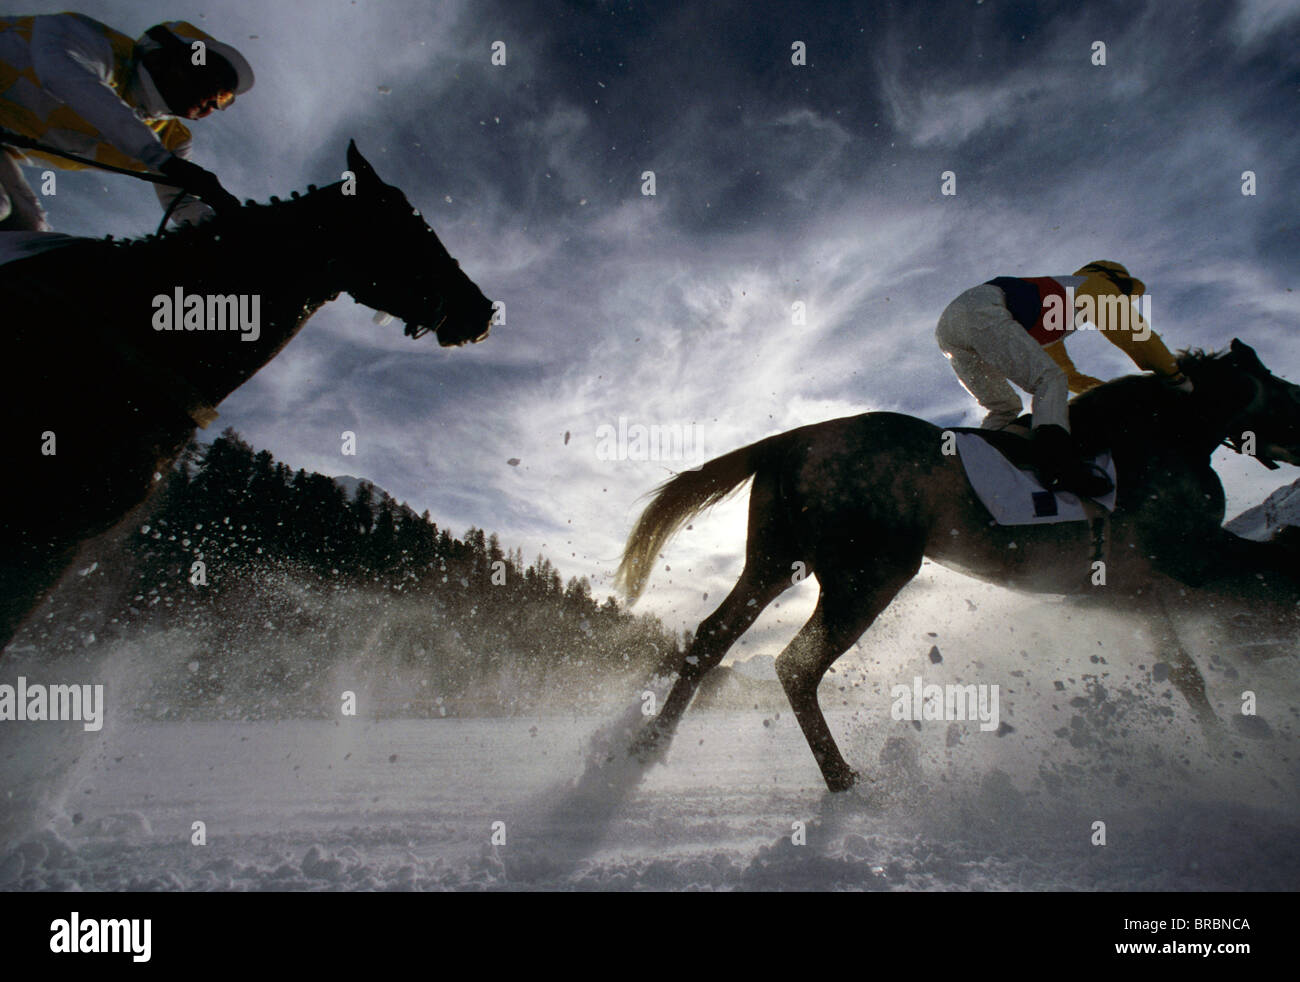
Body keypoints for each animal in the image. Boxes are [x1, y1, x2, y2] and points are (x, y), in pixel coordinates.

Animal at [615, 340, 1300, 792]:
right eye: (1284, 385)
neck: (1160, 431)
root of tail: (795, 438)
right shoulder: (1194, 553)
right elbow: (1279, 577)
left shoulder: (1136, 589)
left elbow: (1187, 672)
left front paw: (1224, 744)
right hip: (870, 573)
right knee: (796, 665)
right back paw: (842, 778)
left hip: (775, 561)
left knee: (713, 636)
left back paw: (646, 746)